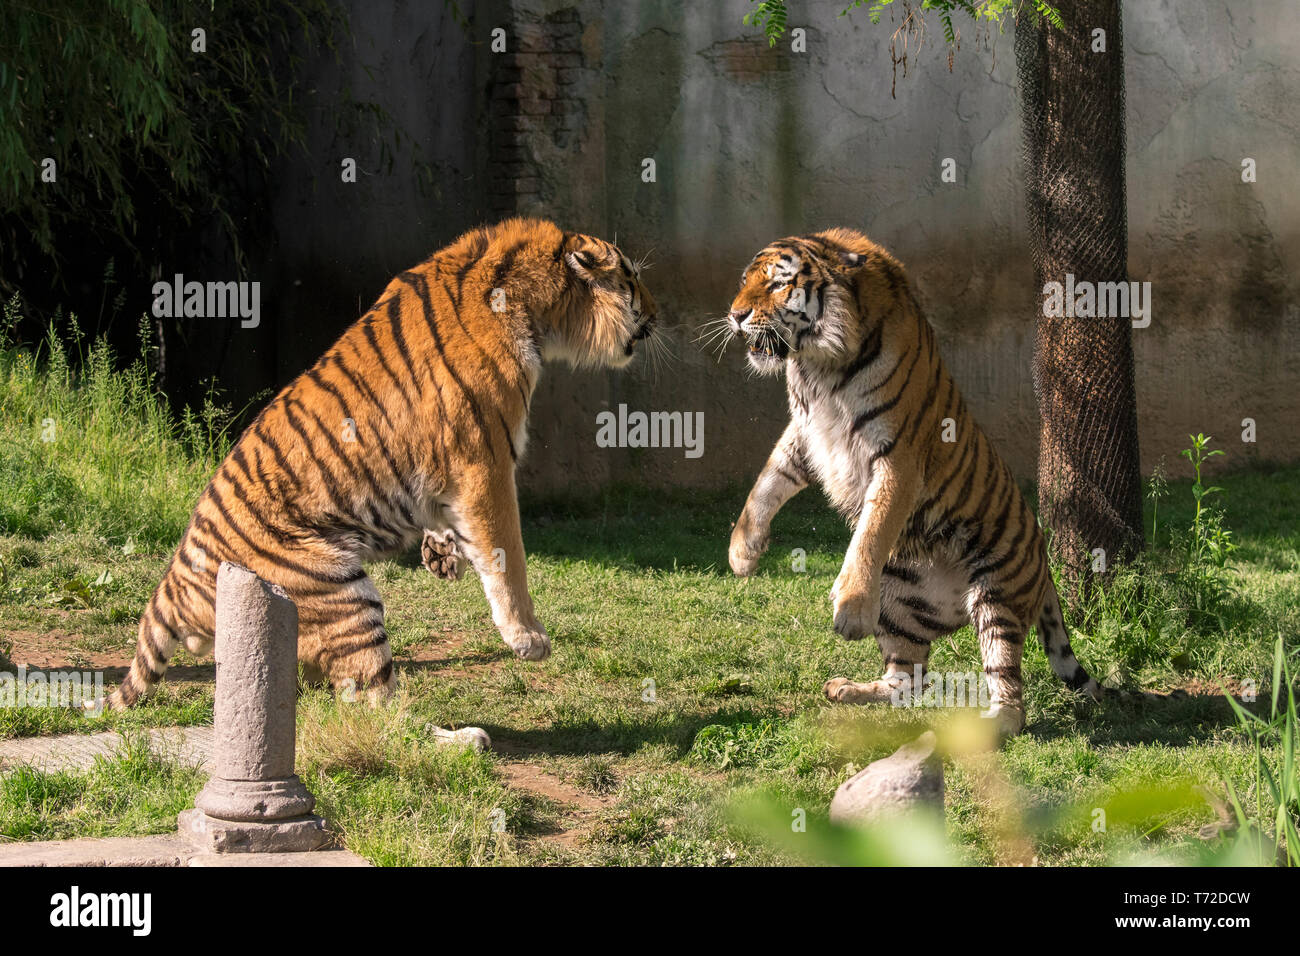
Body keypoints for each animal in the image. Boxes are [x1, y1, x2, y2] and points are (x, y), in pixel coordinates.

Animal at [107, 217, 657, 710]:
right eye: (631, 278)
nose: (657, 311)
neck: (529, 299)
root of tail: (172, 583)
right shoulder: (485, 463)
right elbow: (508, 554)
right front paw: (528, 637)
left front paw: (442, 553)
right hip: (341, 593)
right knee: (376, 714)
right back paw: (459, 742)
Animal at [721, 227, 1102, 736]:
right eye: (745, 281)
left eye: (779, 284)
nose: (735, 315)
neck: (820, 364)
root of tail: (1045, 568)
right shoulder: (805, 434)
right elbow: (766, 483)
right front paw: (743, 552)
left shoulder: (897, 457)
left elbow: (872, 531)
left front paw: (850, 610)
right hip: (899, 603)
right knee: (907, 683)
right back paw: (847, 690)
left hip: (997, 592)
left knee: (1005, 679)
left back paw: (996, 722)